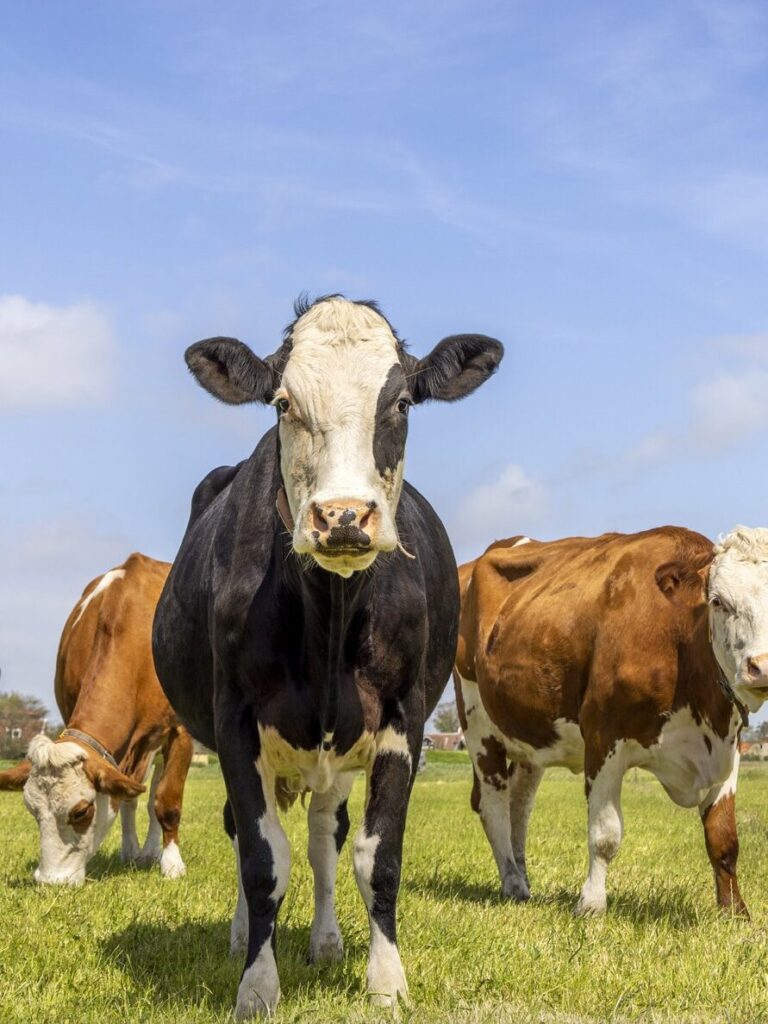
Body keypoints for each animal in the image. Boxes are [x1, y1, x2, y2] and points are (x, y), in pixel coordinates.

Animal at [0, 553, 193, 885]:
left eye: (80, 812)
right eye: (32, 811)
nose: (51, 881)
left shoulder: (180, 731)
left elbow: (167, 800)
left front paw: (172, 865)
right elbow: (128, 796)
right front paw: (133, 851)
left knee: (154, 793)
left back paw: (153, 851)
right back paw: (135, 852)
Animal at [152, 294, 503, 1018]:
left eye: (402, 403)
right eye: (283, 403)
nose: (343, 516)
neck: (332, 621)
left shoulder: (403, 719)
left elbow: (377, 856)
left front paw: (387, 981)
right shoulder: (235, 723)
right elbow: (262, 860)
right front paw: (257, 986)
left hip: (339, 752)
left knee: (322, 838)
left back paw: (327, 940)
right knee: (250, 835)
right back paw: (242, 936)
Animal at [455, 526, 768, 918]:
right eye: (718, 602)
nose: (761, 666)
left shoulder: (728, 745)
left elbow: (724, 838)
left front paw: (734, 912)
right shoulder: (604, 737)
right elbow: (605, 835)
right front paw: (591, 904)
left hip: (531, 735)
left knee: (519, 803)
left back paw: (524, 881)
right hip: (478, 725)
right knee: (492, 804)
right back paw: (512, 883)